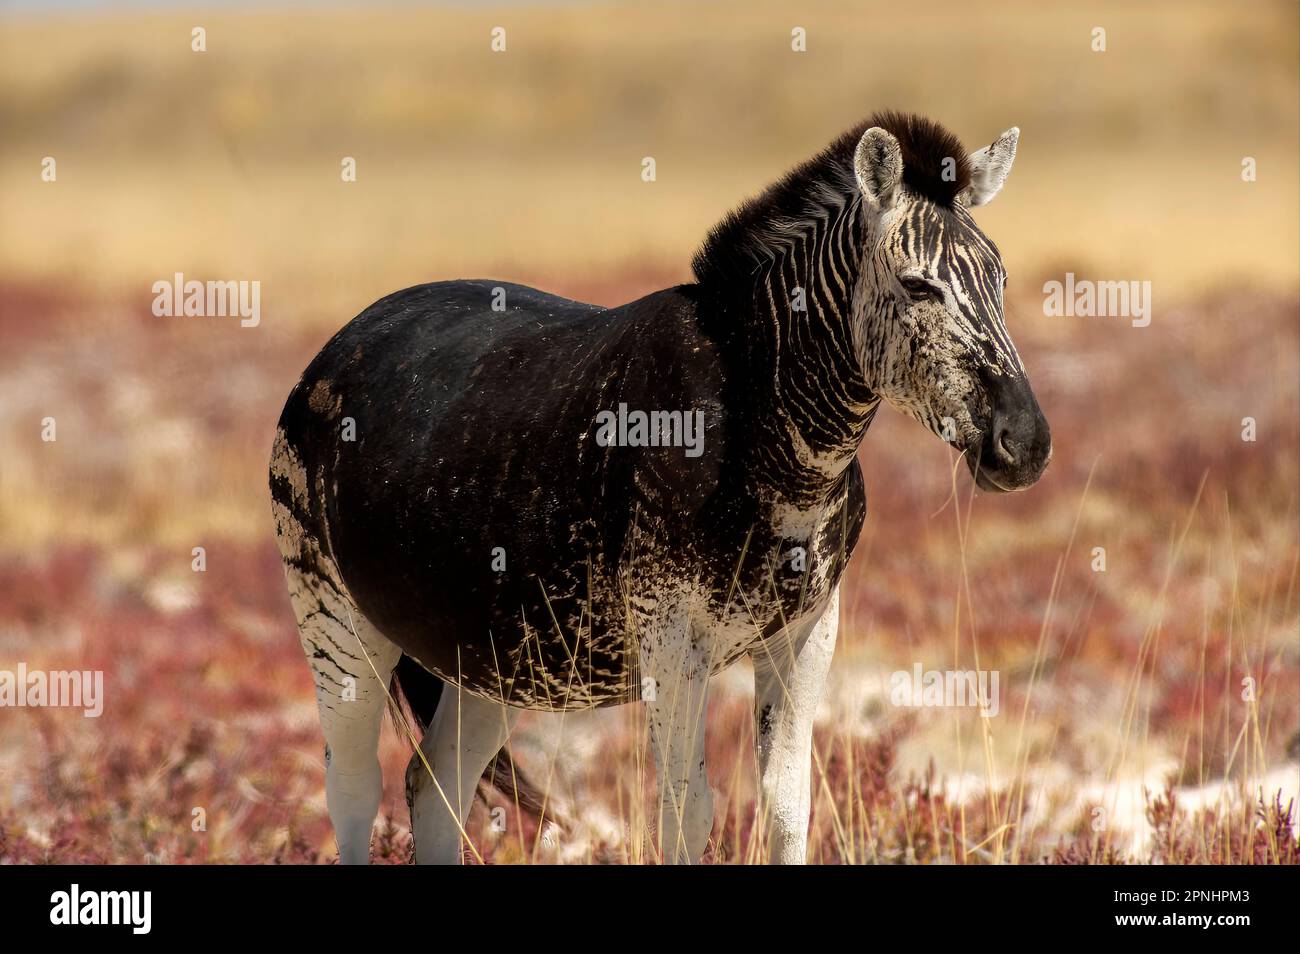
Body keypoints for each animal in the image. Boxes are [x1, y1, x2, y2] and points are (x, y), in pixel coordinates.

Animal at [269, 111, 1051, 865]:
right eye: (919, 286)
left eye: (1002, 280)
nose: (1027, 443)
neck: (778, 442)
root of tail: (351, 330)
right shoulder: (672, 637)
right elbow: (688, 812)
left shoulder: (808, 631)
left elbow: (788, 806)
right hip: (332, 615)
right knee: (354, 788)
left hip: (493, 653)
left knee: (436, 788)